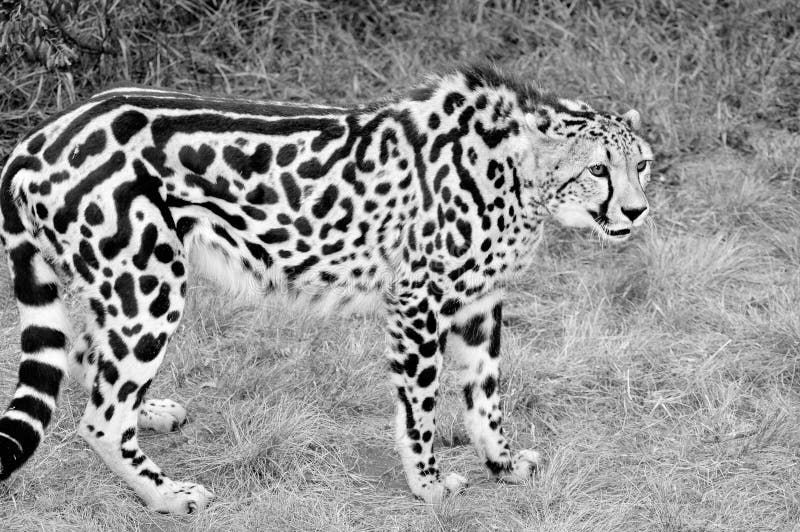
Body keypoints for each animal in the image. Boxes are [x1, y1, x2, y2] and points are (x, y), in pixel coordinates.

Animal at [0, 64, 652, 513]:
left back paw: (153, 412)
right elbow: (421, 407)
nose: (637, 210)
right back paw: (167, 495)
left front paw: (504, 463)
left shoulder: (480, 301)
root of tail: (35, 139)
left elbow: (485, 398)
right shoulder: (418, 301)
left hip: (119, 286)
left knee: (90, 359)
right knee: (102, 417)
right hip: (149, 284)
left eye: (640, 164)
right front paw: (429, 483)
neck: (514, 167)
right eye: (598, 169)